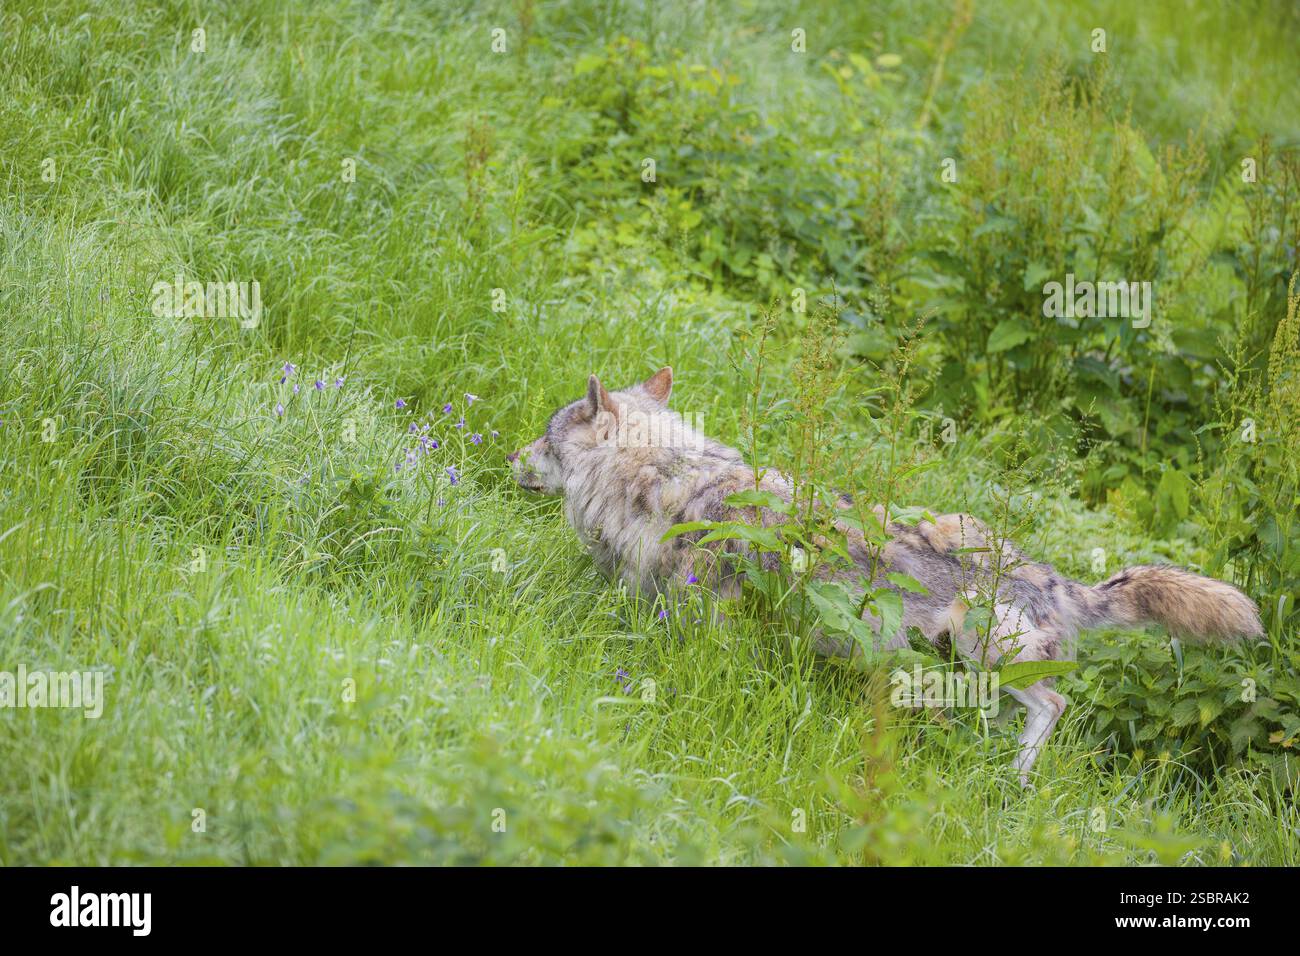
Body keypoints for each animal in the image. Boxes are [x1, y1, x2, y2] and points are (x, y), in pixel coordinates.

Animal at [509, 367, 1264, 785]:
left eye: (545, 439)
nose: (511, 455)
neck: (660, 477)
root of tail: (1058, 579)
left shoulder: (712, 615)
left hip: (985, 650)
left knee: (1053, 705)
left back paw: (1014, 778)